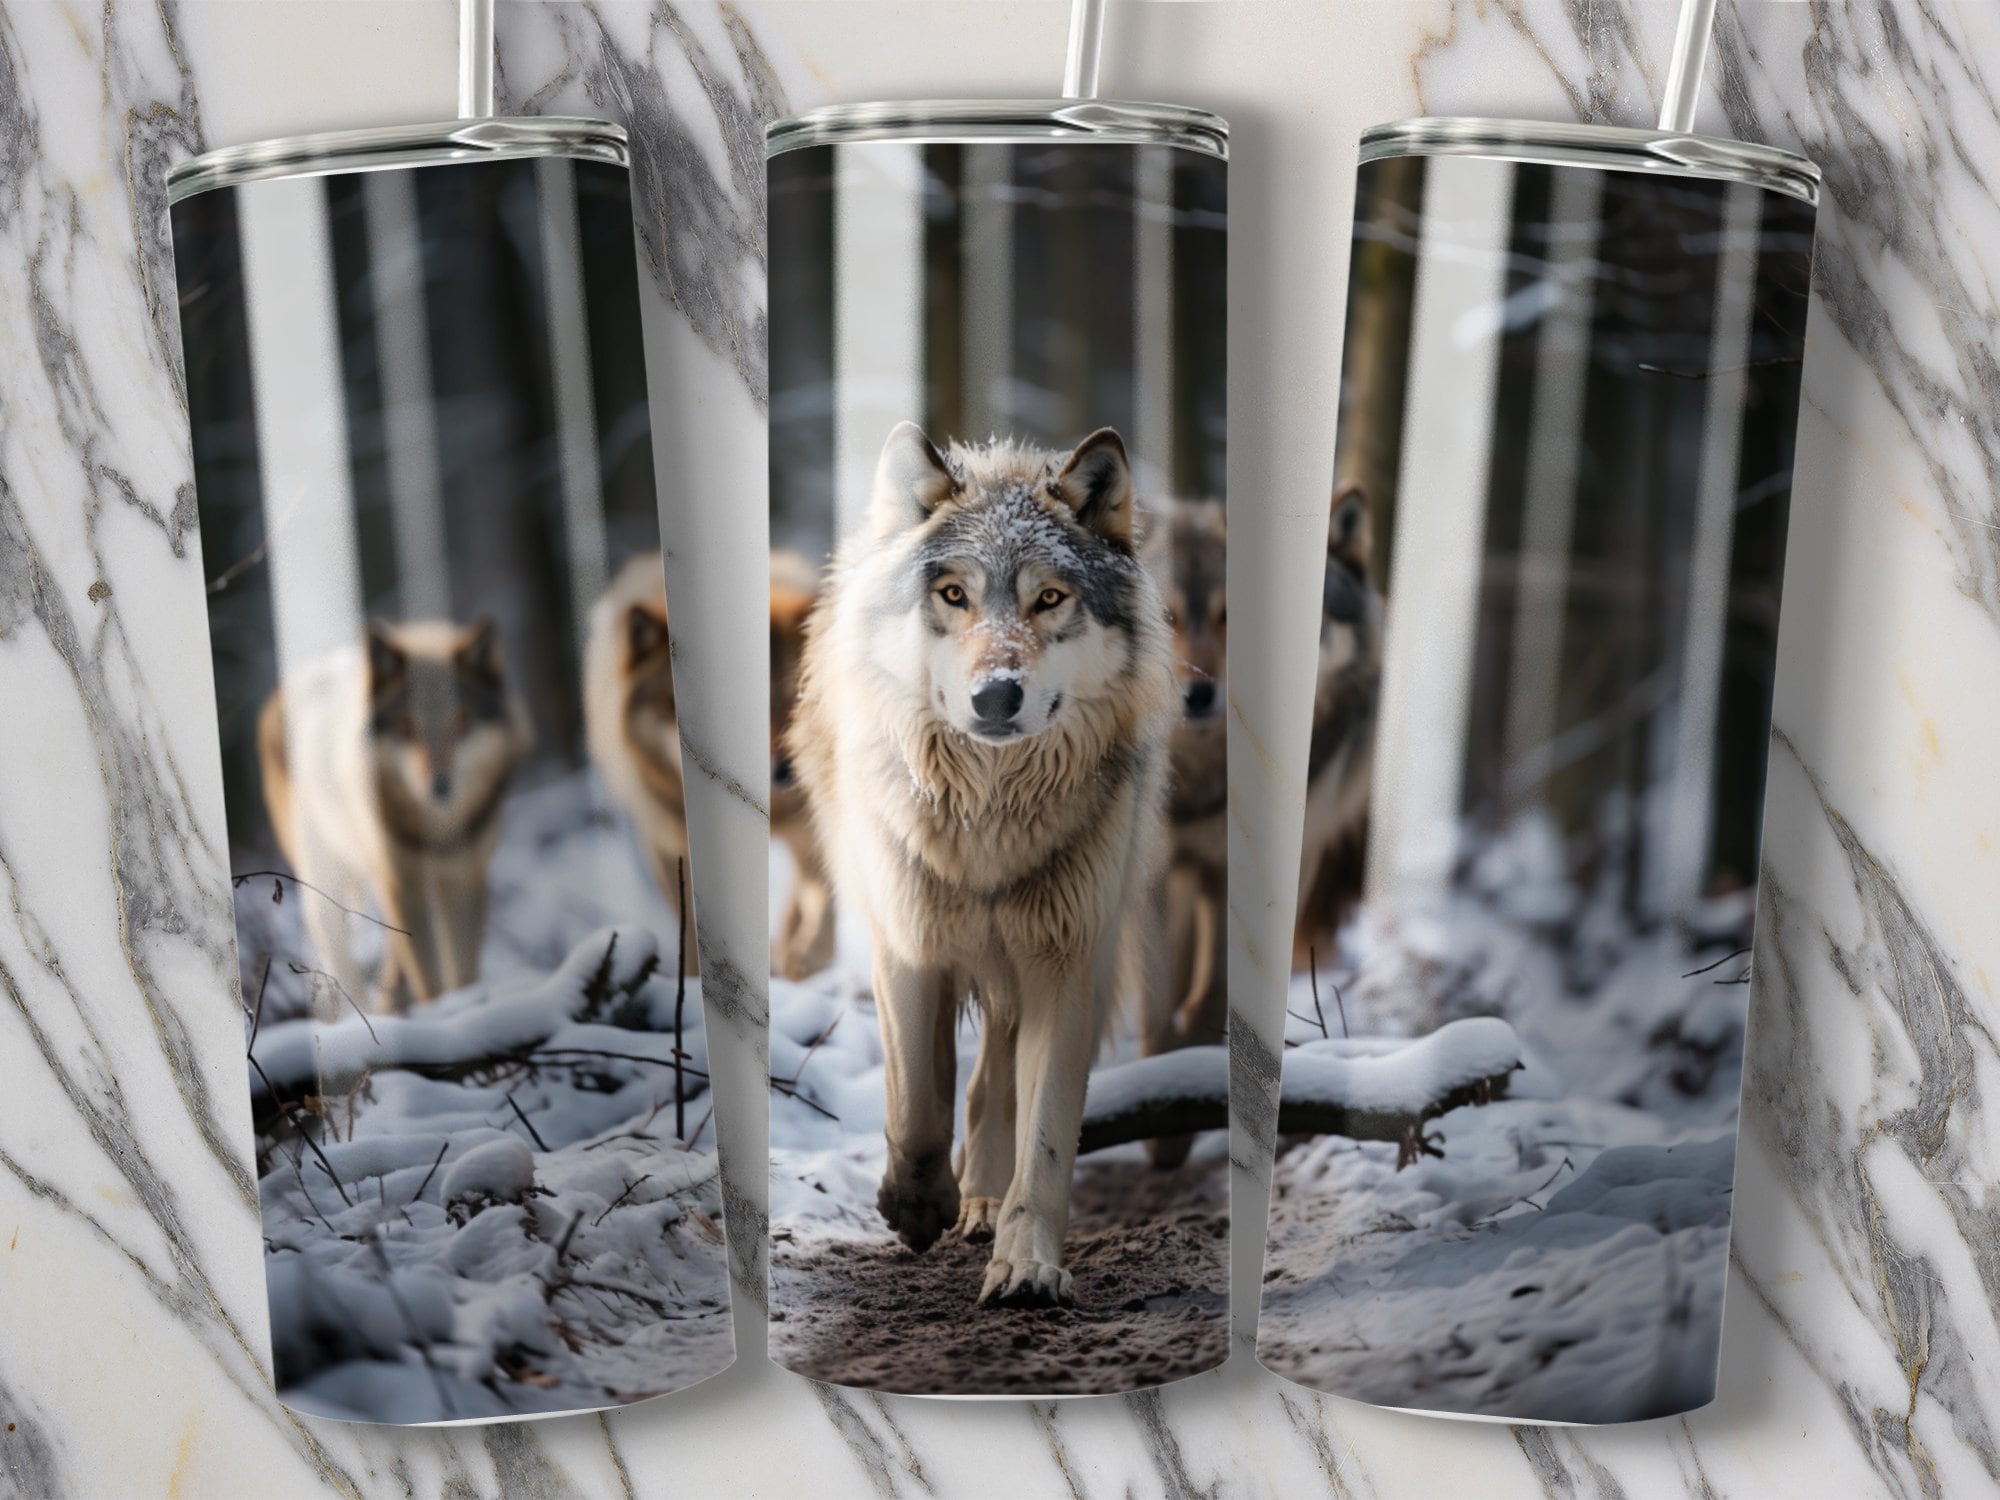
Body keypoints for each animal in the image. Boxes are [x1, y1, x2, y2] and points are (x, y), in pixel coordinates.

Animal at [258, 617, 533, 1013]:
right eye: (407, 727)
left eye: (461, 722)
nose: (440, 787)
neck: (436, 831)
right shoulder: (405, 884)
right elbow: (429, 978)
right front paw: (444, 1014)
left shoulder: (463, 878)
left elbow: (462, 971)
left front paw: (467, 1010)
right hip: (327, 883)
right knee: (339, 959)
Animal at [792, 422, 1177, 1308]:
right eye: (953, 595)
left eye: (1049, 599)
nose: (997, 694)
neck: (987, 820)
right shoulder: (906, 941)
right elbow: (915, 1104)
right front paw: (915, 1204)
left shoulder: (1066, 963)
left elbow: (1045, 1138)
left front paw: (1027, 1263)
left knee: (992, 1076)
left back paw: (984, 1201)